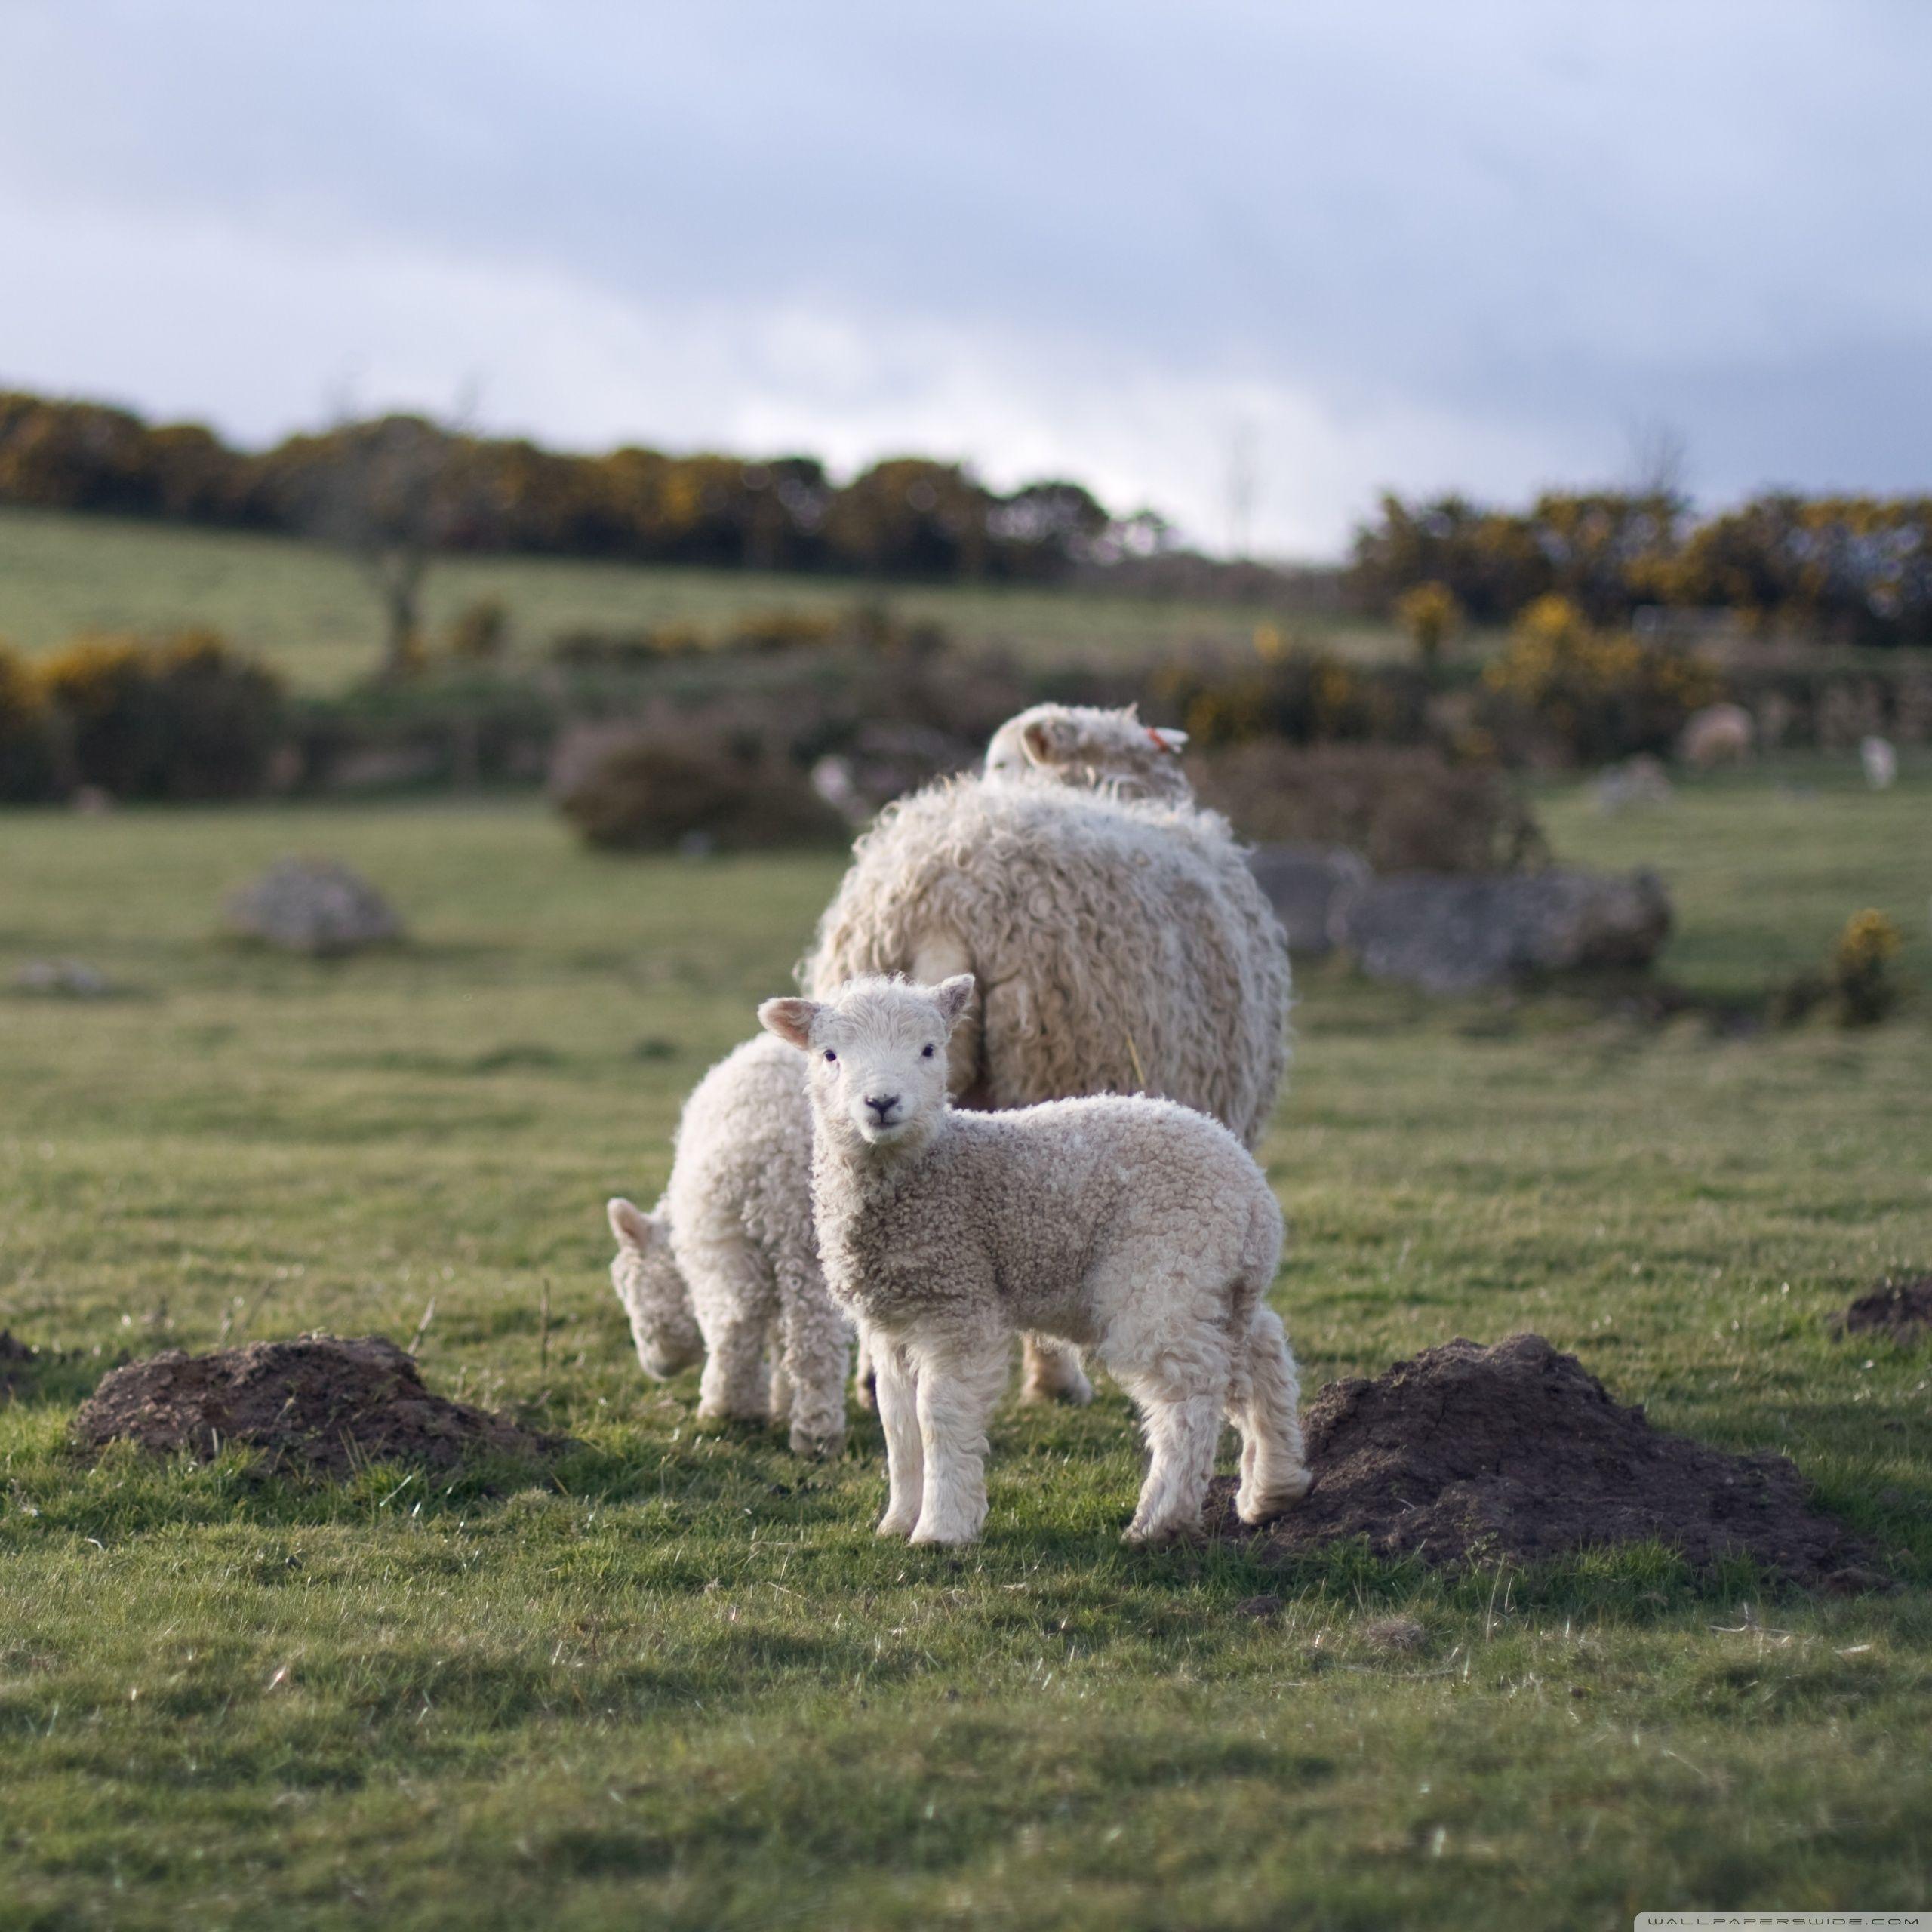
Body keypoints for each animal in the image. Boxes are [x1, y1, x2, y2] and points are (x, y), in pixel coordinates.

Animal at [606, 1032, 850, 1456]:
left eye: (628, 1292)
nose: (656, 1369)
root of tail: (782, 1154)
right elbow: (781, 1336)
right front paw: (783, 1403)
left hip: (723, 1231)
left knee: (735, 1320)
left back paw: (726, 1409)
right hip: (815, 1242)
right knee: (814, 1333)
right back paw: (817, 1432)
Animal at [758, 974, 1310, 1546]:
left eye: (929, 1049)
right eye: (829, 1055)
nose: (882, 1102)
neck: (929, 1170)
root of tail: (1254, 1193)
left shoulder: (958, 1302)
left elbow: (939, 1414)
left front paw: (940, 1529)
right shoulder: (892, 1322)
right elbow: (898, 1421)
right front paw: (896, 1522)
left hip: (1164, 1270)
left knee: (1189, 1397)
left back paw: (1159, 1520)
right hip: (1213, 1280)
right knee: (1261, 1351)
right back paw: (1273, 1488)